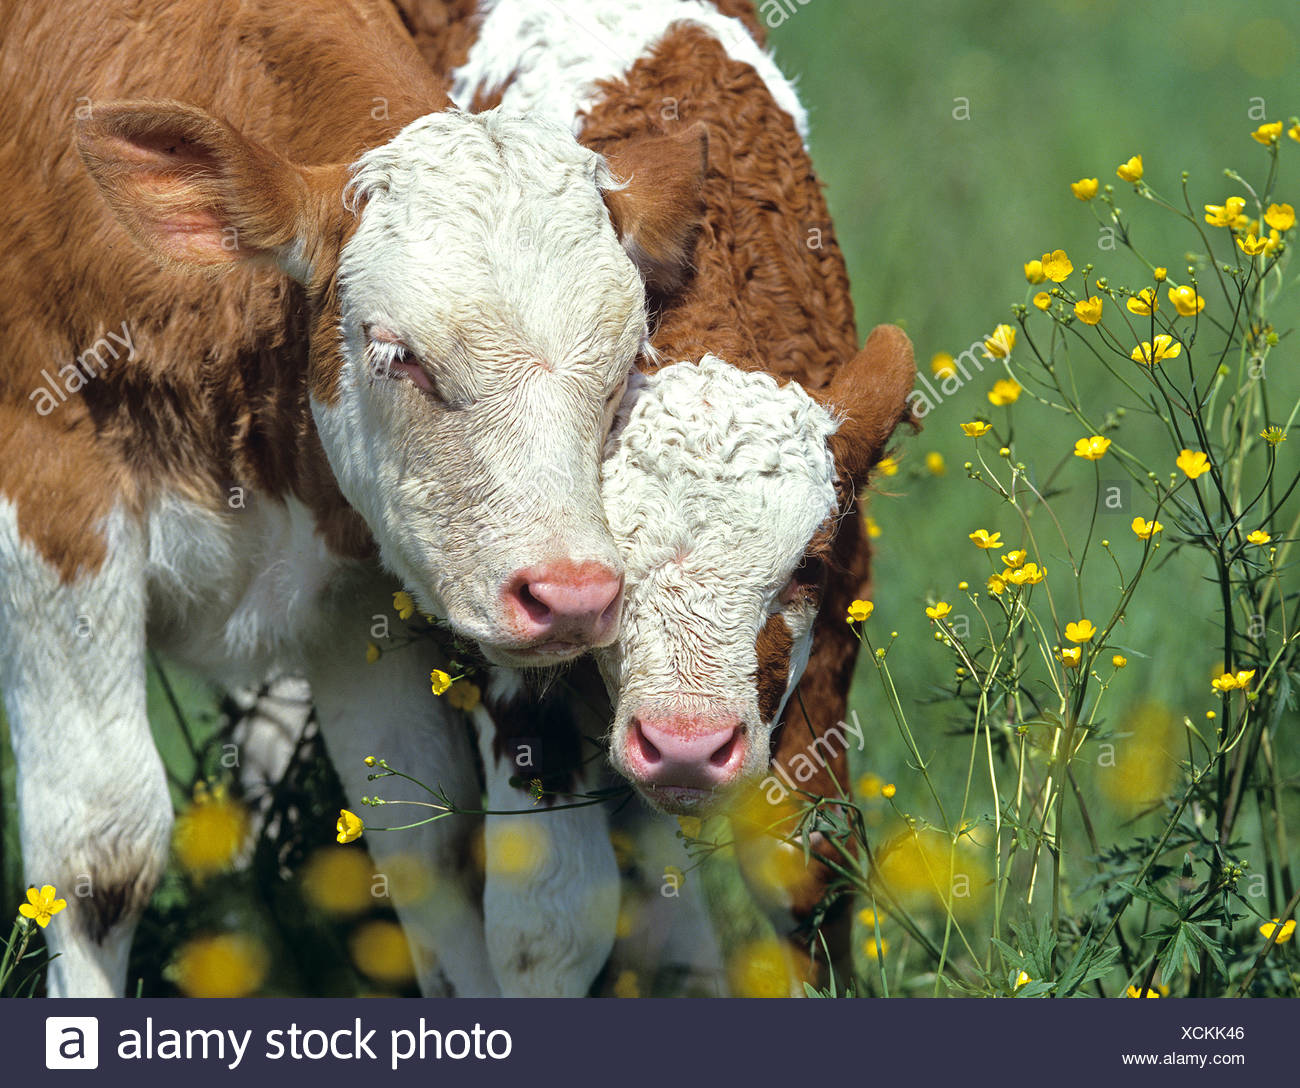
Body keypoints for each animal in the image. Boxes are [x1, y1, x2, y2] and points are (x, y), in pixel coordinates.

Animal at [0, 0, 705, 996]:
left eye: (623, 365)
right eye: (397, 353)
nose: (572, 594)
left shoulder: (351, 592)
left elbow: (423, 841)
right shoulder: (55, 514)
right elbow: (100, 855)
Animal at [379, 0, 915, 995]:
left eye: (807, 563)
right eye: (604, 571)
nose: (688, 746)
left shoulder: (834, 628)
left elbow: (807, 865)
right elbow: (547, 920)